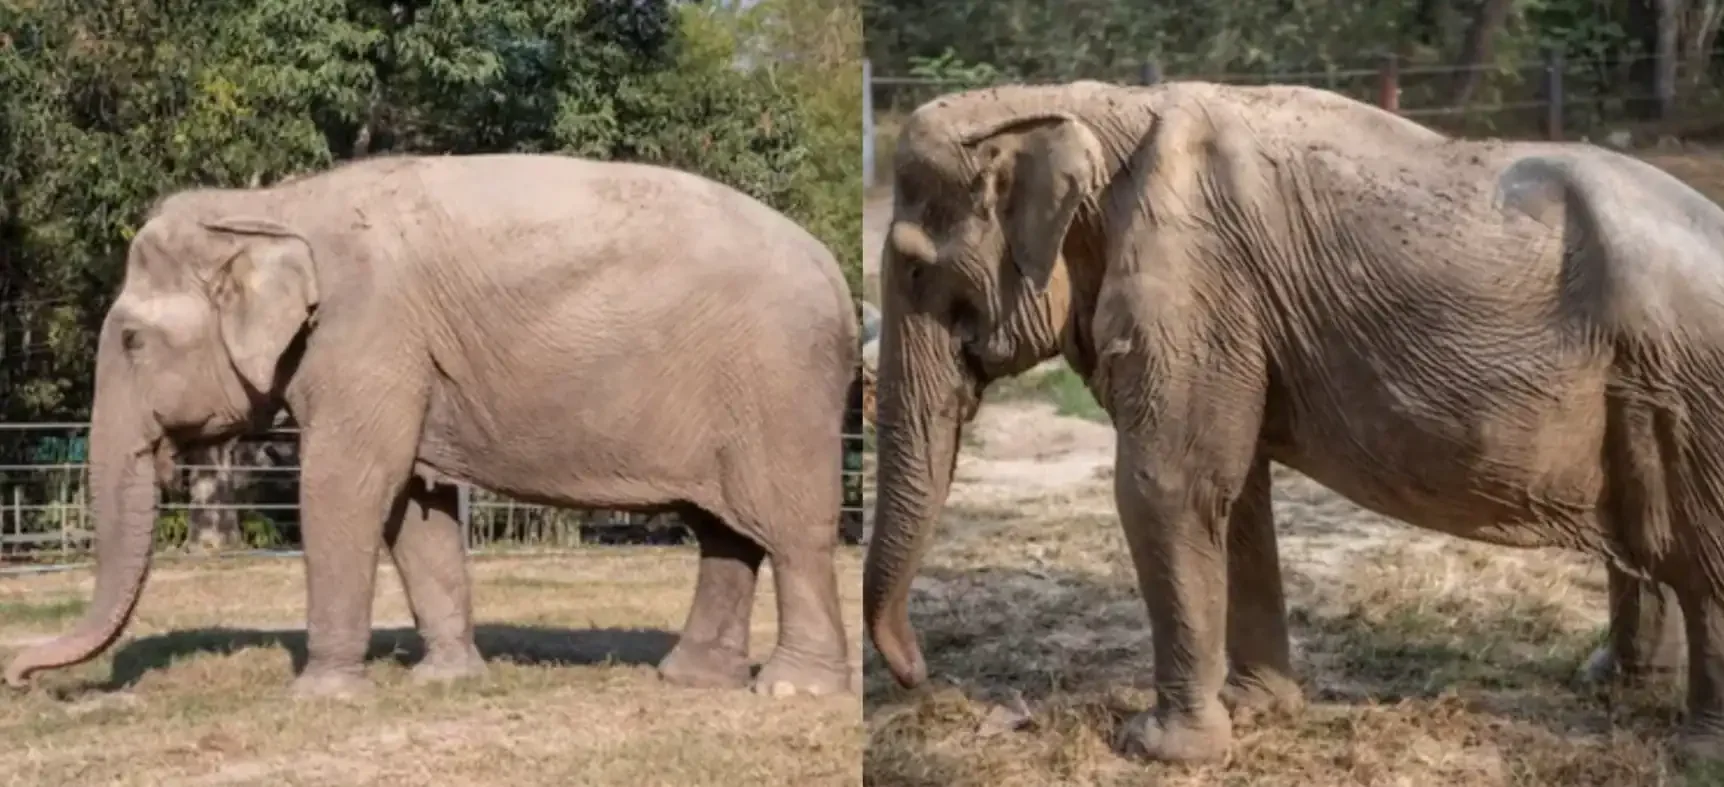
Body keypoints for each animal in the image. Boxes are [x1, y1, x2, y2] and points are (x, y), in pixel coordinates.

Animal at [4, 152, 859, 698]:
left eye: (130, 340)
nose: (19, 675)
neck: (274, 208)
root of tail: (841, 280)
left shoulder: (368, 333)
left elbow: (348, 484)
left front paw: (323, 697)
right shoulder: (406, 357)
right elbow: (414, 502)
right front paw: (444, 680)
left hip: (781, 383)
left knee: (789, 527)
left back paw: (793, 690)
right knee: (724, 529)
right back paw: (692, 680)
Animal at [863, 79, 1724, 763]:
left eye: (914, 268)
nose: (917, 675)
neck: (1090, 106)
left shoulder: (1197, 278)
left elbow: (1167, 485)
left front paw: (1160, 747)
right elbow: (1236, 494)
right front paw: (1257, 708)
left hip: (1698, 387)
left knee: (1703, 555)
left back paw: (1695, 750)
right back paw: (1612, 685)